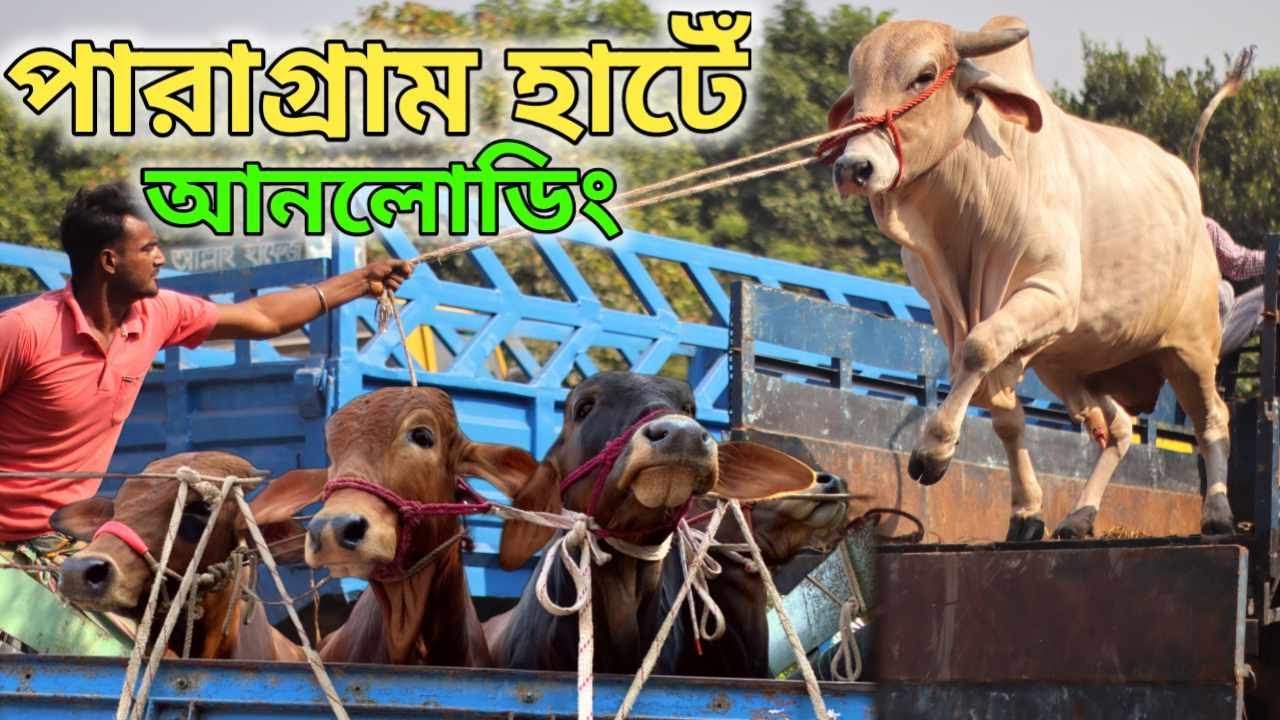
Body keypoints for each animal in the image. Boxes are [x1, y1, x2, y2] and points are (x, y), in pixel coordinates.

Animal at [826, 15, 1237, 540]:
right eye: (856, 89)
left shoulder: (1049, 293)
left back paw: (1218, 512)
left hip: (1191, 347)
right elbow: (1004, 413)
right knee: (1119, 427)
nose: (854, 167)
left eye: (924, 76)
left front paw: (933, 452)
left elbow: (979, 350)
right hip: (1066, 364)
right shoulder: (953, 309)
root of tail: (1190, 187)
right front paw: (1026, 513)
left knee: (1213, 419)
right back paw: (1080, 517)